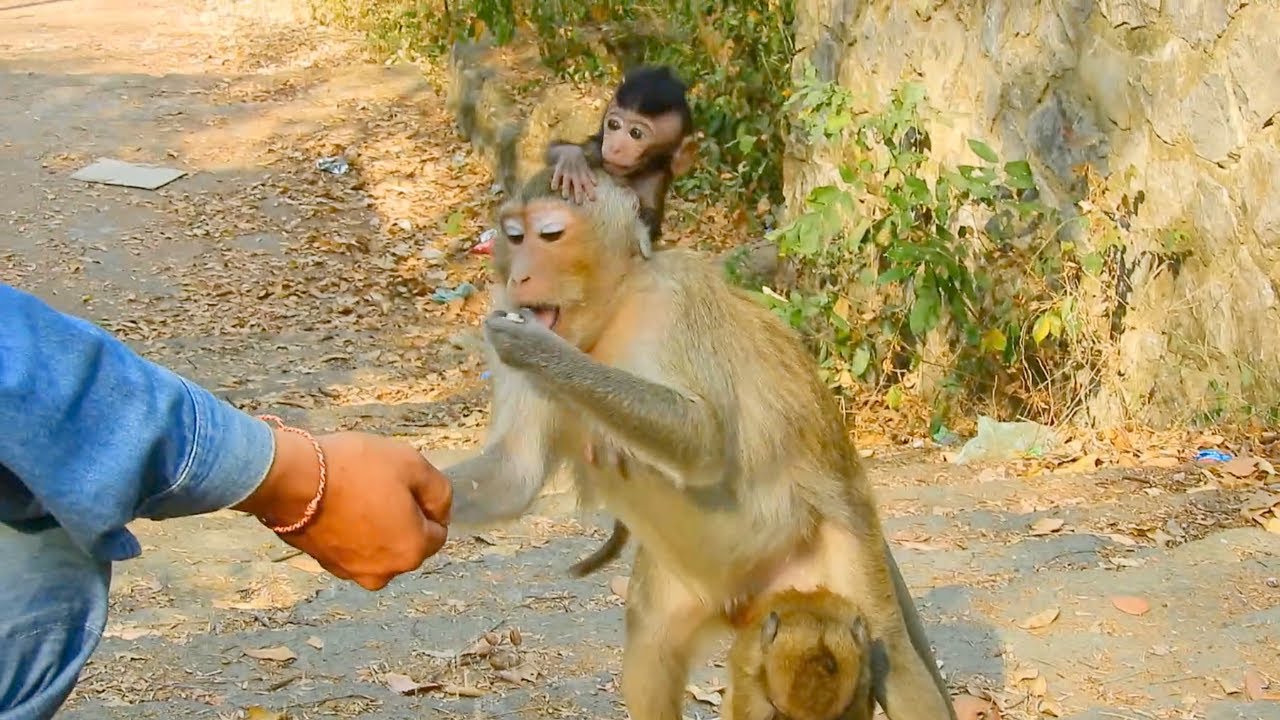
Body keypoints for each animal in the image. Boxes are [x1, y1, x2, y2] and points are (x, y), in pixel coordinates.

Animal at [545, 64, 696, 259]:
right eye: (614, 125)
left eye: (636, 133)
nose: (614, 147)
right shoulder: (597, 148)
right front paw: (572, 160)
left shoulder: (656, 179)